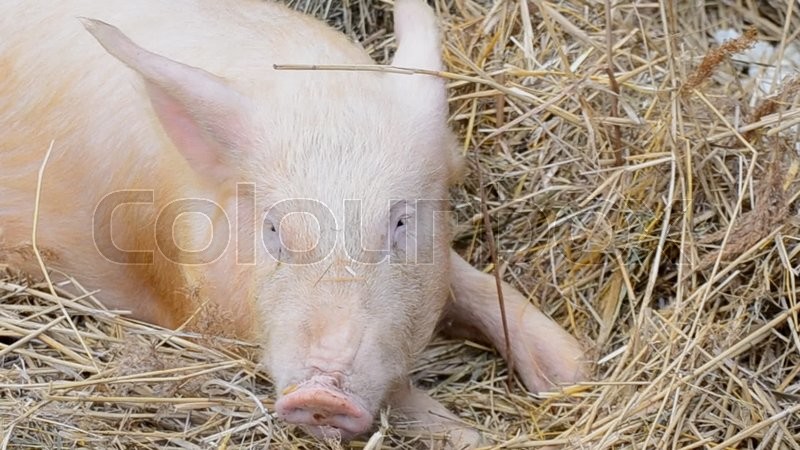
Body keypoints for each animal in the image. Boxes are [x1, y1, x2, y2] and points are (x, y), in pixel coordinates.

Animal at [0, 0, 585, 446]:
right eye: (275, 230)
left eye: (399, 223)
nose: (323, 394)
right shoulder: (198, 315)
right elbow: (400, 395)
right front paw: (473, 434)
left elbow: (471, 284)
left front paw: (571, 373)